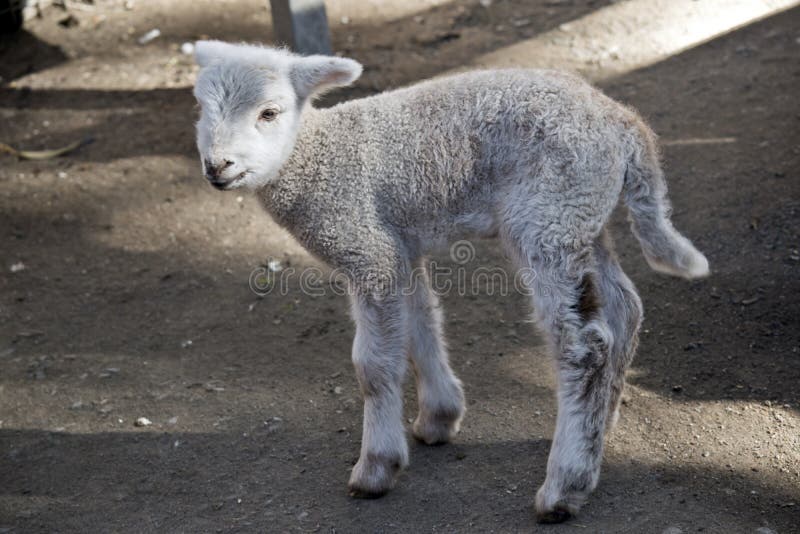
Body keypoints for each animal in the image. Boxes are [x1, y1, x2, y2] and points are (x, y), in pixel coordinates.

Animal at [192, 40, 709, 524]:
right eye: (201, 108)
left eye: (269, 112)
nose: (217, 167)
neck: (317, 159)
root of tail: (623, 124)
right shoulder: (399, 247)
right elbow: (422, 327)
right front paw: (439, 417)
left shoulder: (367, 248)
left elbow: (373, 366)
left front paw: (376, 467)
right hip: (582, 216)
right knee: (624, 310)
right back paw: (600, 428)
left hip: (548, 214)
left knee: (583, 344)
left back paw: (565, 486)